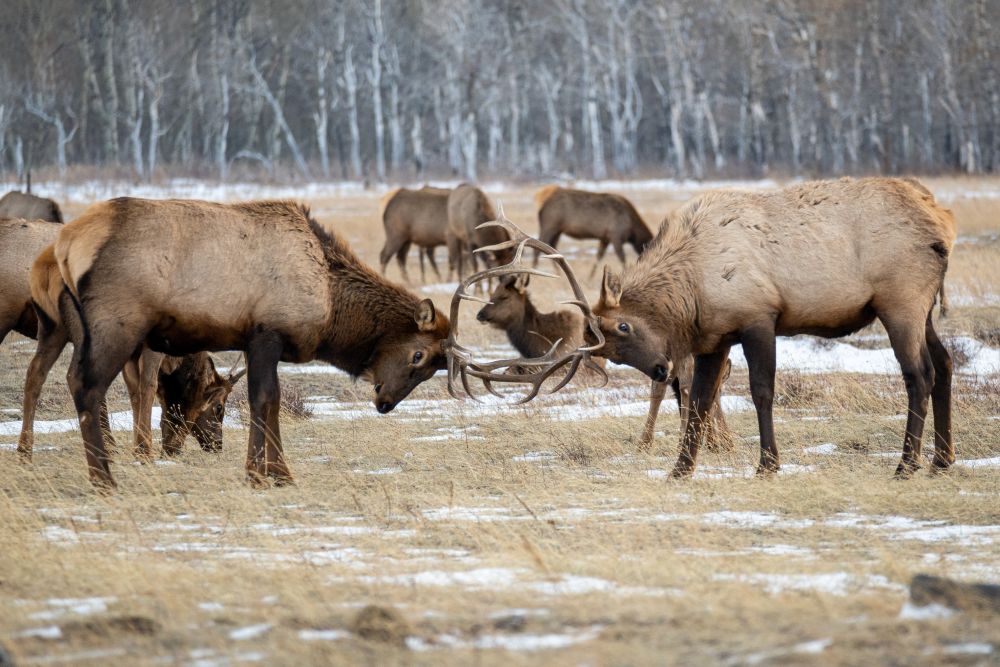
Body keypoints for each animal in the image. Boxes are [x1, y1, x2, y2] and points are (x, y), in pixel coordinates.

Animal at [54, 197, 450, 490]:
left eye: (431, 369)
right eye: (418, 354)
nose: (385, 403)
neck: (329, 300)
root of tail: (64, 245)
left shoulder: (253, 342)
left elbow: (270, 405)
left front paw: (277, 473)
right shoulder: (266, 334)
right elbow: (264, 400)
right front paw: (260, 474)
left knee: (75, 378)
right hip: (116, 323)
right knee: (87, 385)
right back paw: (103, 479)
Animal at [583, 177, 956, 479]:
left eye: (624, 325)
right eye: (614, 355)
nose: (661, 369)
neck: (692, 290)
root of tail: (944, 223)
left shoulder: (758, 319)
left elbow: (761, 392)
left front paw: (767, 464)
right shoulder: (716, 339)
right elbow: (701, 400)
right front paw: (680, 470)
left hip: (901, 303)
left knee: (920, 374)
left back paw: (907, 464)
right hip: (923, 311)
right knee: (945, 363)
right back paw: (941, 459)